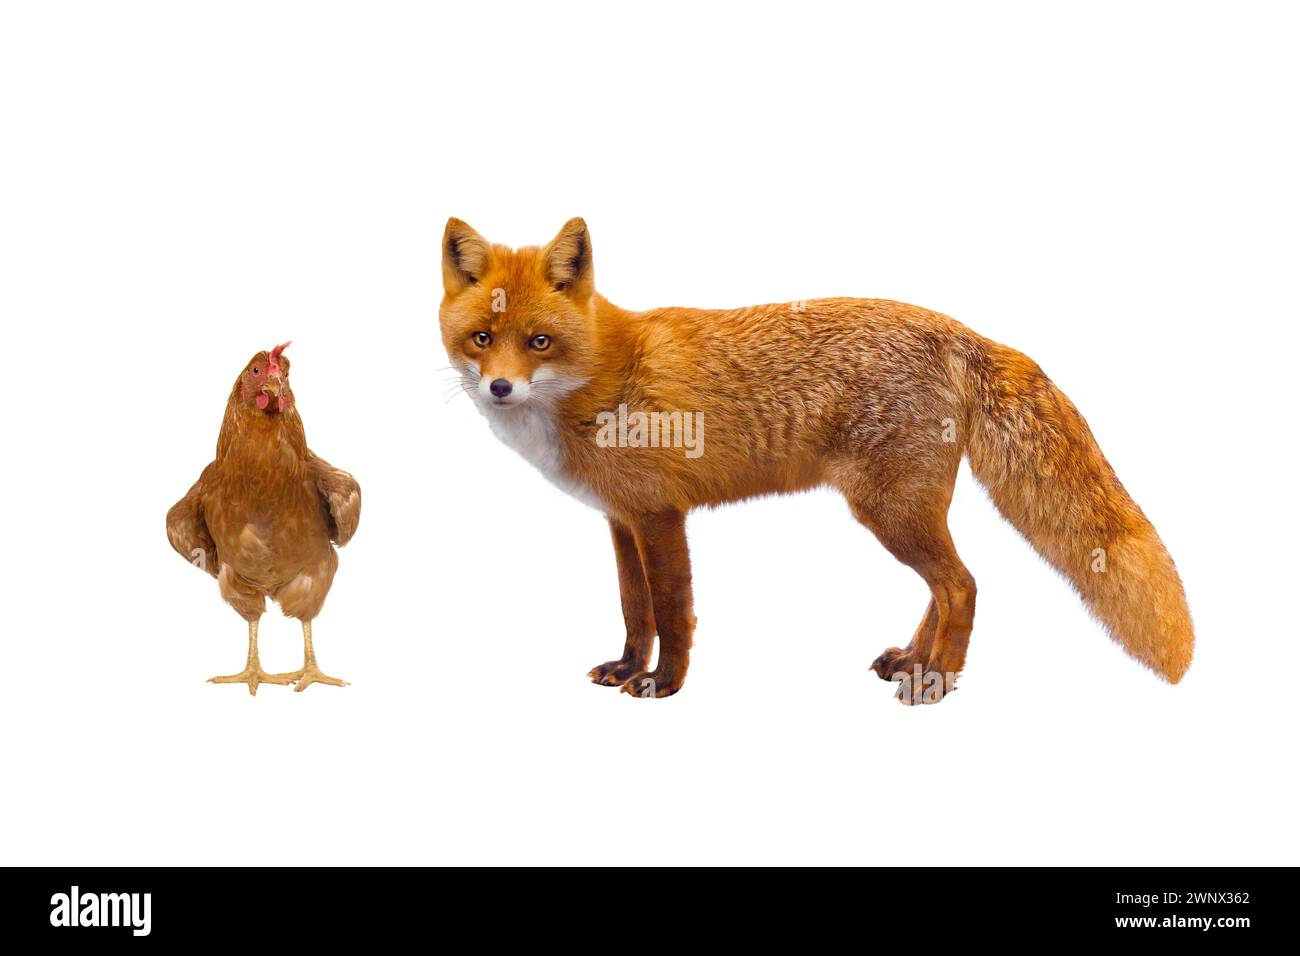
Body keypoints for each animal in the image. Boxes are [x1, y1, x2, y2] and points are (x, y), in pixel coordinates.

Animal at [439, 217, 1194, 703]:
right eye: (482, 339)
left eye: (539, 342)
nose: (500, 388)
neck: (599, 376)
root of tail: (958, 328)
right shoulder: (622, 520)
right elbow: (635, 610)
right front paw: (628, 670)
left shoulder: (660, 515)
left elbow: (674, 612)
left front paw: (664, 685)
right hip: (906, 513)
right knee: (946, 587)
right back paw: (914, 660)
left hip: (889, 511)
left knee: (963, 586)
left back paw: (938, 680)